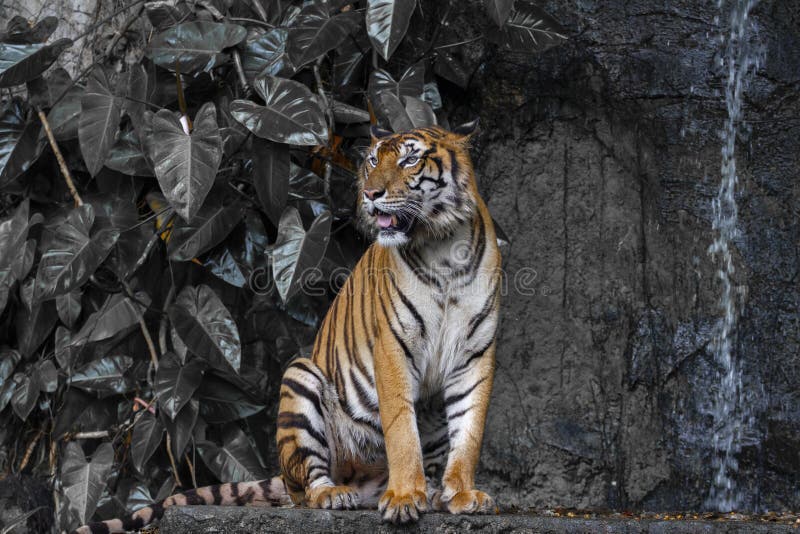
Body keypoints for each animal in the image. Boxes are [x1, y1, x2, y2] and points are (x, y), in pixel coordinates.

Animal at [74, 120, 502, 532]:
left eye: (410, 160)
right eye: (373, 160)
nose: (370, 193)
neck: (443, 249)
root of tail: (365, 482)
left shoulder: (475, 354)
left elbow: (469, 430)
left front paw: (461, 494)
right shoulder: (394, 346)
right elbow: (401, 429)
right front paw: (403, 497)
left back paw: (433, 493)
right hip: (301, 379)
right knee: (307, 488)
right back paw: (338, 495)